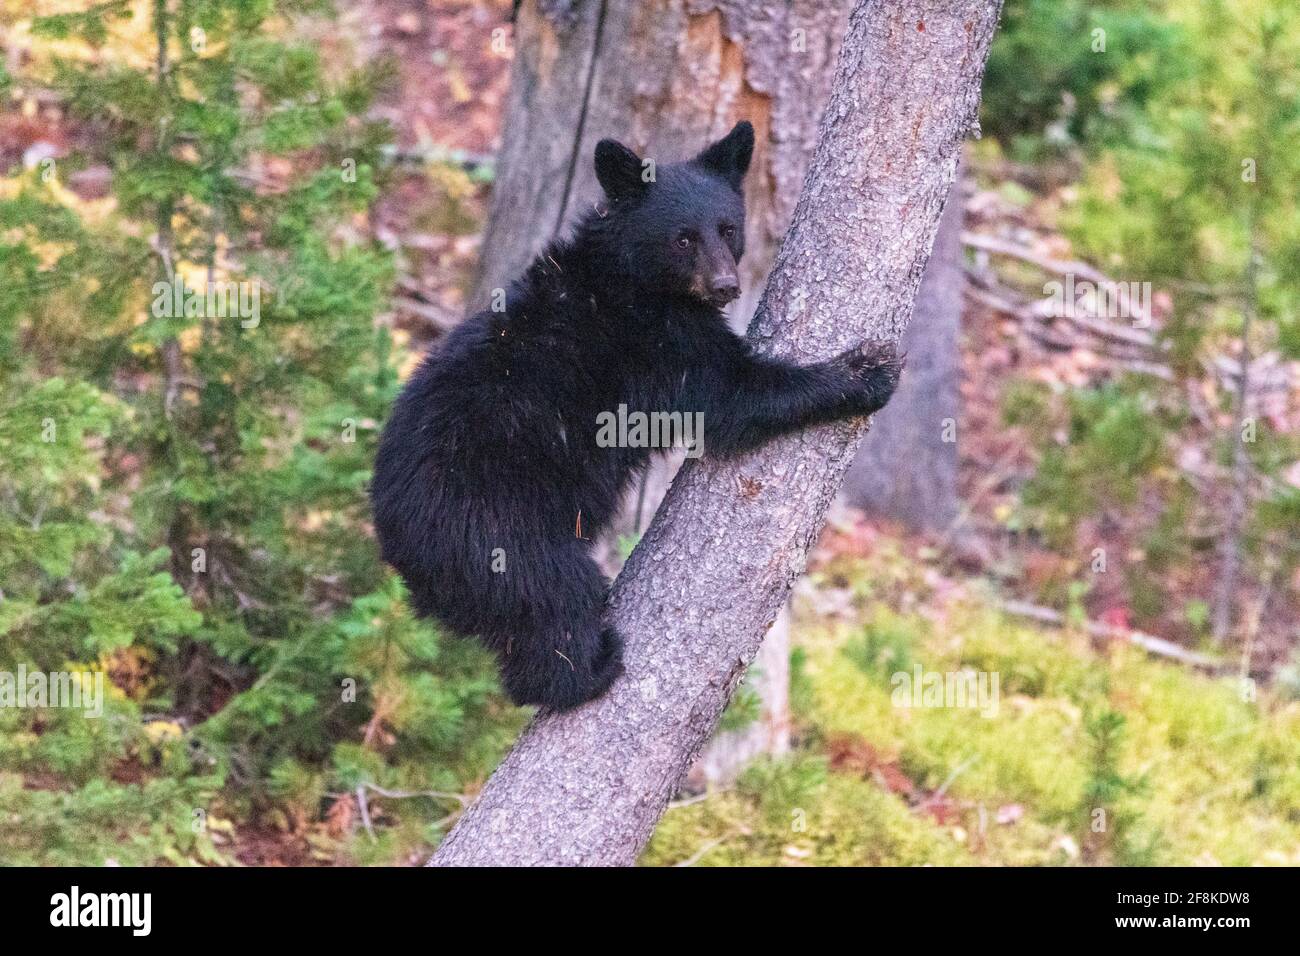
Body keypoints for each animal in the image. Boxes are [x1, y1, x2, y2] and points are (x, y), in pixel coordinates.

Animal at [371, 121, 902, 712]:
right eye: (683, 237)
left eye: (728, 229)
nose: (725, 286)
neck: (632, 276)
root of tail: (397, 550)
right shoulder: (656, 344)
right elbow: (729, 398)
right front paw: (865, 373)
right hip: (495, 529)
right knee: (556, 597)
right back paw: (589, 671)